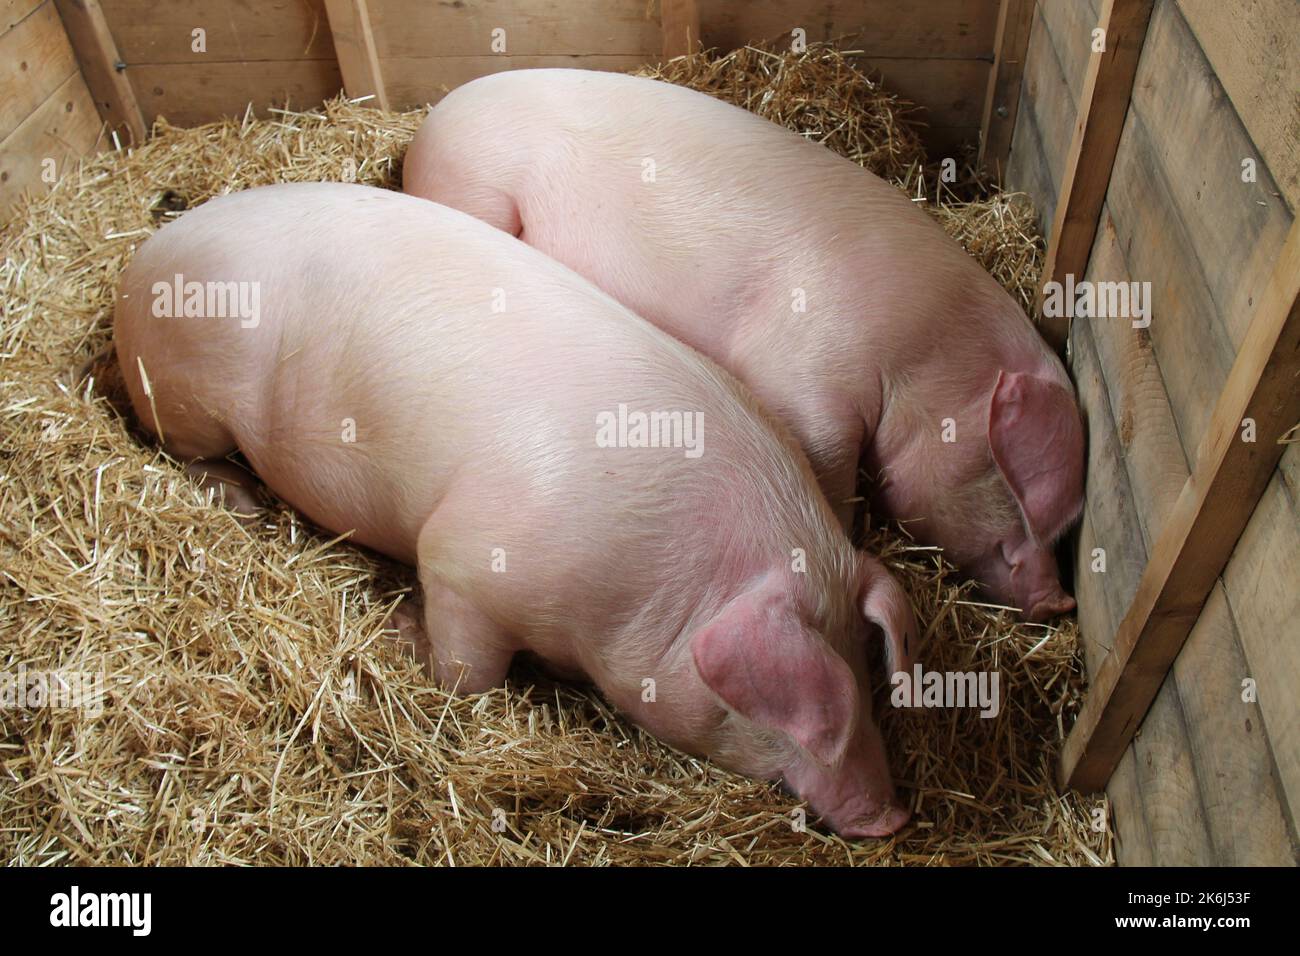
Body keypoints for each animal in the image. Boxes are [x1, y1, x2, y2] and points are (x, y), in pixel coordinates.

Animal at [113, 181, 919, 838]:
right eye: (792, 707)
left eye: (863, 659)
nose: (890, 817)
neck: (659, 580)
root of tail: (139, 262)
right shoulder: (463, 560)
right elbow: (467, 671)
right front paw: (401, 629)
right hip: (186, 401)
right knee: (183, 451)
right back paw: (243, 502)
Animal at [402, 69, 1086, 623]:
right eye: (1008, 482)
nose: (1060, 602)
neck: (922, 353)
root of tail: (432, 123)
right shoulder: (807, 375)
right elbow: (829, 462)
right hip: (475, 188)